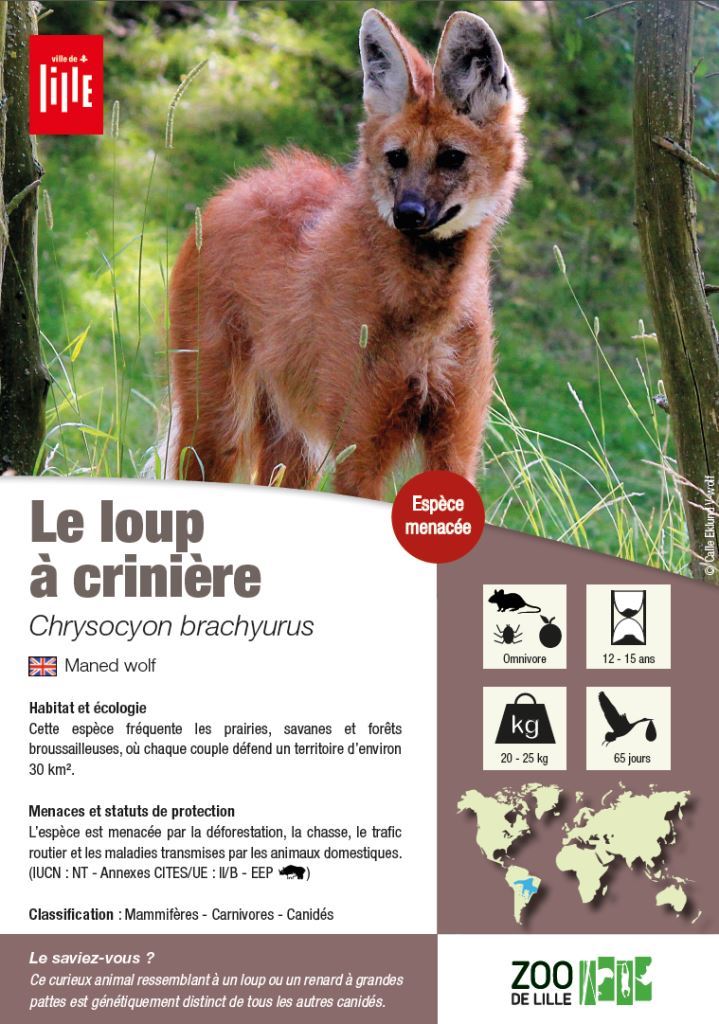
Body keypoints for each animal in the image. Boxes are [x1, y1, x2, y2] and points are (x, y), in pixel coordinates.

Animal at [165, 9, 525, 497]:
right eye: (396, 158)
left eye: (452, 157)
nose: (407, 214)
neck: (428, 319)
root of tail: (239, 185)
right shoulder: (361, 449)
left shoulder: (455, 439)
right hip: (219, 419)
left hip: (293, 441)